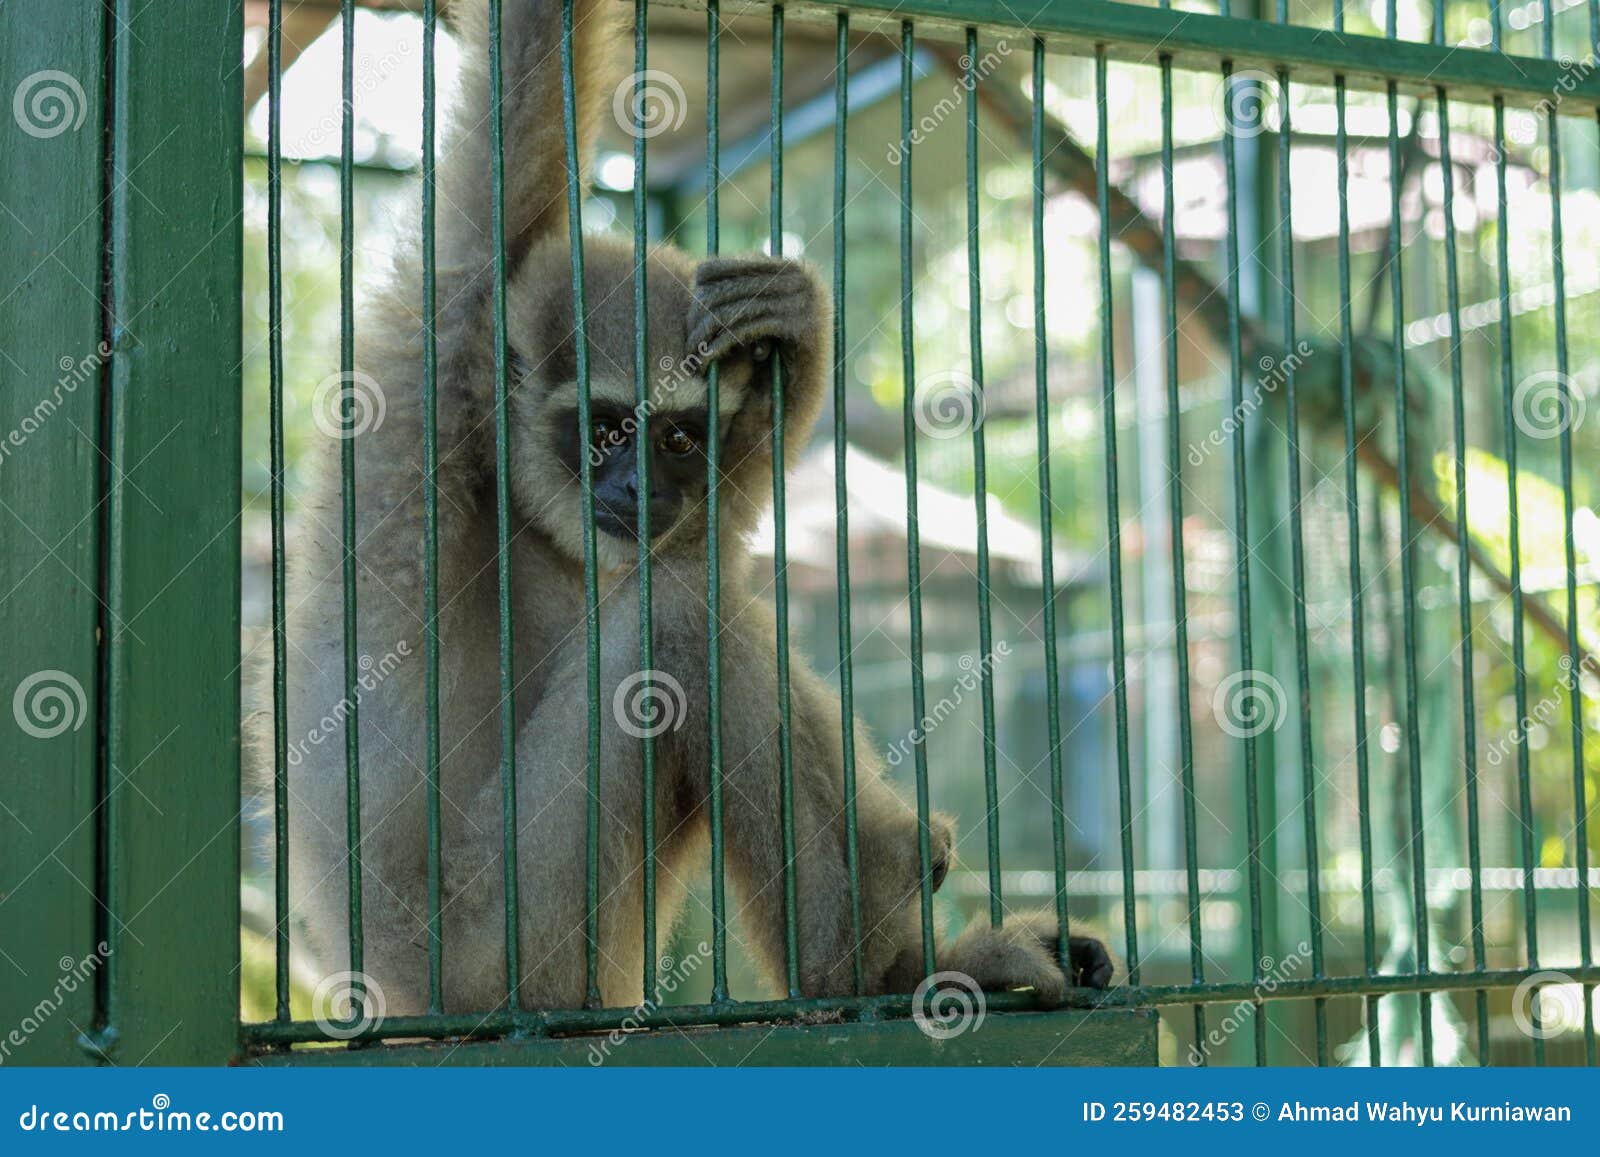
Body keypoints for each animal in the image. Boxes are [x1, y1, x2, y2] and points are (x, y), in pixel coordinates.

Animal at [267, 0, 1112, 1021]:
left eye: (674, 438)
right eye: (605, 429)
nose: (638, 485)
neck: (514, 508)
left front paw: (793, 347)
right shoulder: (433, 361)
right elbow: (505, 141)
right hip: (506, 946)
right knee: (677, 617)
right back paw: (856, 965)